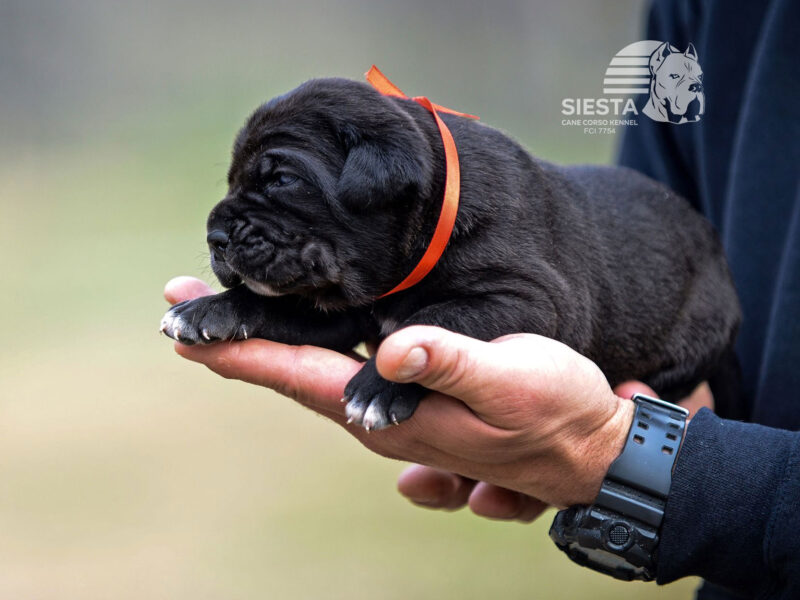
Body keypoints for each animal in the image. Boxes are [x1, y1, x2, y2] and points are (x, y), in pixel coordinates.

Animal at [159, 76, 740, 432]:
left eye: (281, 179)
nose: (215, 236)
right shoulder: (342, 311)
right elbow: (278, 305)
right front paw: (207, 310)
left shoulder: (532, 300)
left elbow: (439, 316)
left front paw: (379, 386)